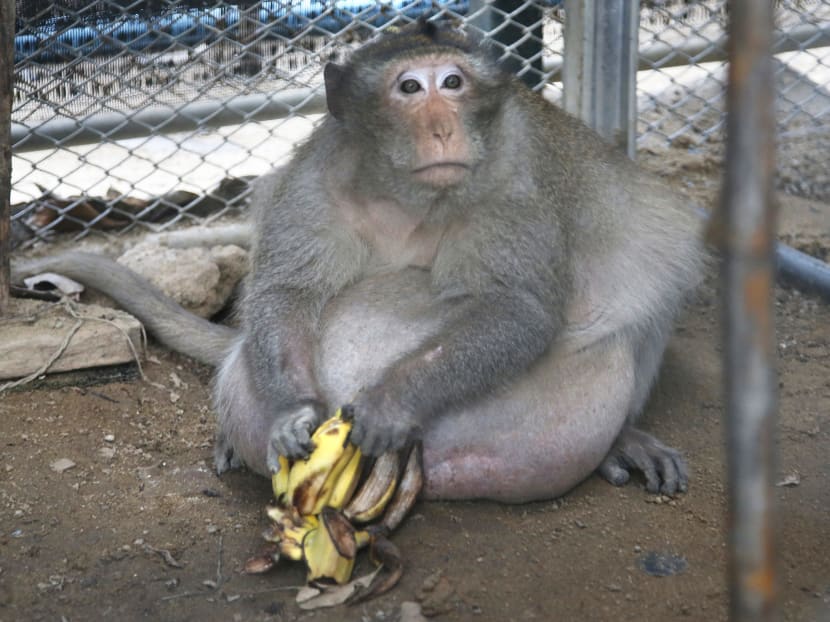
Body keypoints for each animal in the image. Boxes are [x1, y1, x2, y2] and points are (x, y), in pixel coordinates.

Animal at [12, 20, 706, 503]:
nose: (443, 129)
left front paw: (391, 402)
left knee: (656, 255)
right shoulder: (314, 184)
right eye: (410, 87)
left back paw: (622, 437)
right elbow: (286, 293)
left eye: (453, 82)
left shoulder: (514, 185)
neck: (407, 194)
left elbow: (519, 309)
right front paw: (292, 414)